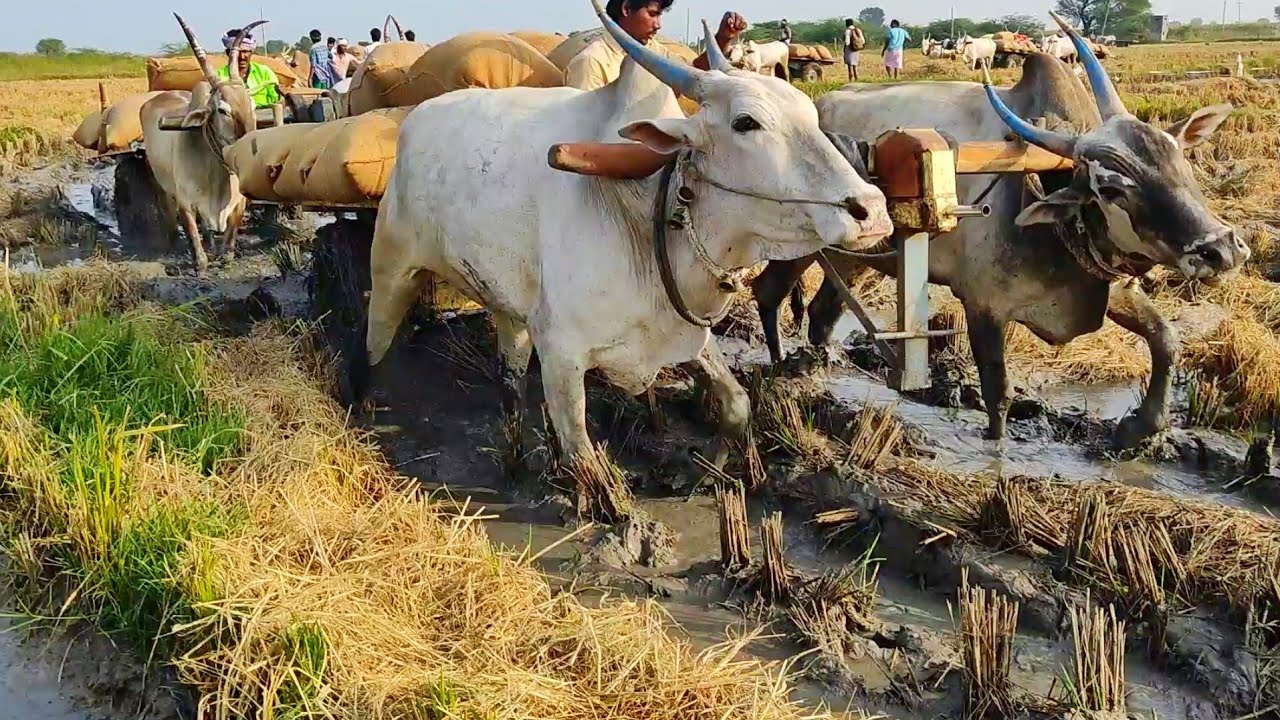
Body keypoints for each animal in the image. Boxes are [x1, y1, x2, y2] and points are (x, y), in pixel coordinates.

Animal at [139, 15, 262, 274]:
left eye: (253, 105)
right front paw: (200, 263)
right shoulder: (185, 202)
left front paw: (225, 256)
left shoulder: (238, 202)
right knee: (169, 214)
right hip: (159, 182)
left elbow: (231, 233)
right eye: (222, 110)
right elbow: (192, 232)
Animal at [353, 1, 892, 470]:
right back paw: (365, 410)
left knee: (510, 372)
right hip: (391, 267)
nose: (873, 211)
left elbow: (737, 406)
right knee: (375, 343)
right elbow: (583, 457)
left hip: (507, 300)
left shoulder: (684, 333)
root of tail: (417, 116)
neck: (650, 210)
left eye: (811, 114)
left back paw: (516, 451)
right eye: (746, 122)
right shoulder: (562, 350)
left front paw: (709, 468)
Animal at [749, 12, 1249, 450]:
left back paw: (818, 372)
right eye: (1109, 189)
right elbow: (998, 390)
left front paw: (1141, 427)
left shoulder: (1113, 288)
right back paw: (778, 370)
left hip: (856, 260)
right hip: (797, 247)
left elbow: (1166, 341)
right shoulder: (983, 305)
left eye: (1179, 160)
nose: (1223, 250)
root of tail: (818, 103)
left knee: (820, 314)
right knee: (768, 292)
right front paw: (997, 449)